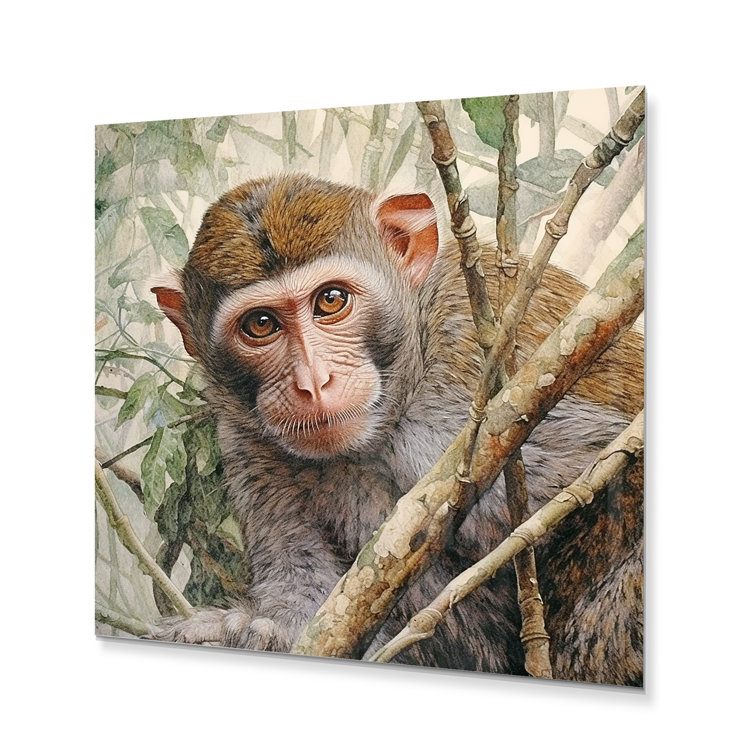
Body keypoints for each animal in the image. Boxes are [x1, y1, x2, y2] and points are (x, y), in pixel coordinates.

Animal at [152, 173, 644, 685]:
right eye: (261, 324)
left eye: (331, 300)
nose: (313, 381)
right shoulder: (246, 439)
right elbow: (311, 600)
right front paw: (250, 631)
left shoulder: (478, 377)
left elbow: (618, 459)